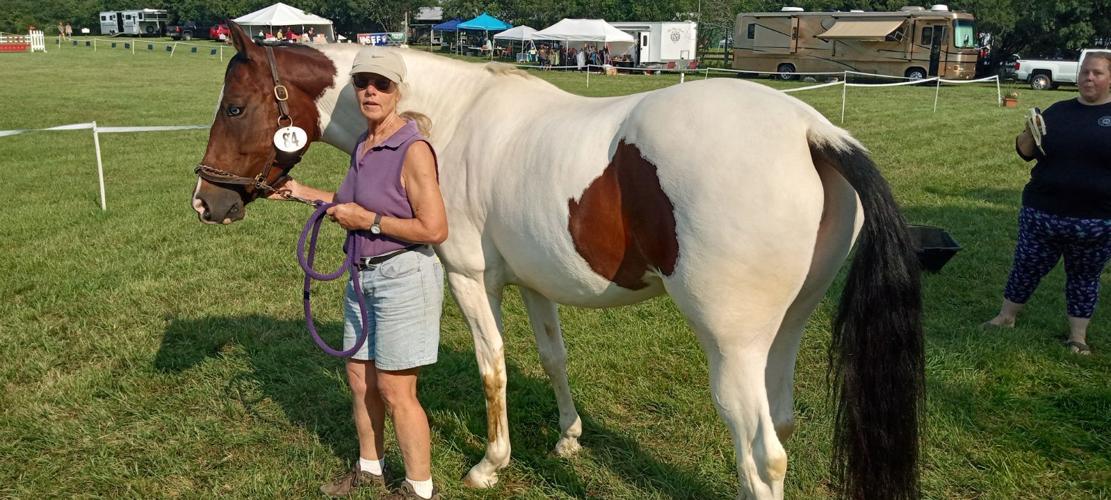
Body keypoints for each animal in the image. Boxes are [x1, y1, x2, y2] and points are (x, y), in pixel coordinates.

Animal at [192, 24, 924, 500]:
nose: (206, 202)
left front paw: (490, 464)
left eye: (235, 106)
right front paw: (569, 438)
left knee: (760, 453)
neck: (448, 118)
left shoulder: (470, 279)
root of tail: (811, 132)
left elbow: (492, 369)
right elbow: (552, 357)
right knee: (782, 425)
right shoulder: (534, 282)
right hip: (787, 330)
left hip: (732, 345)